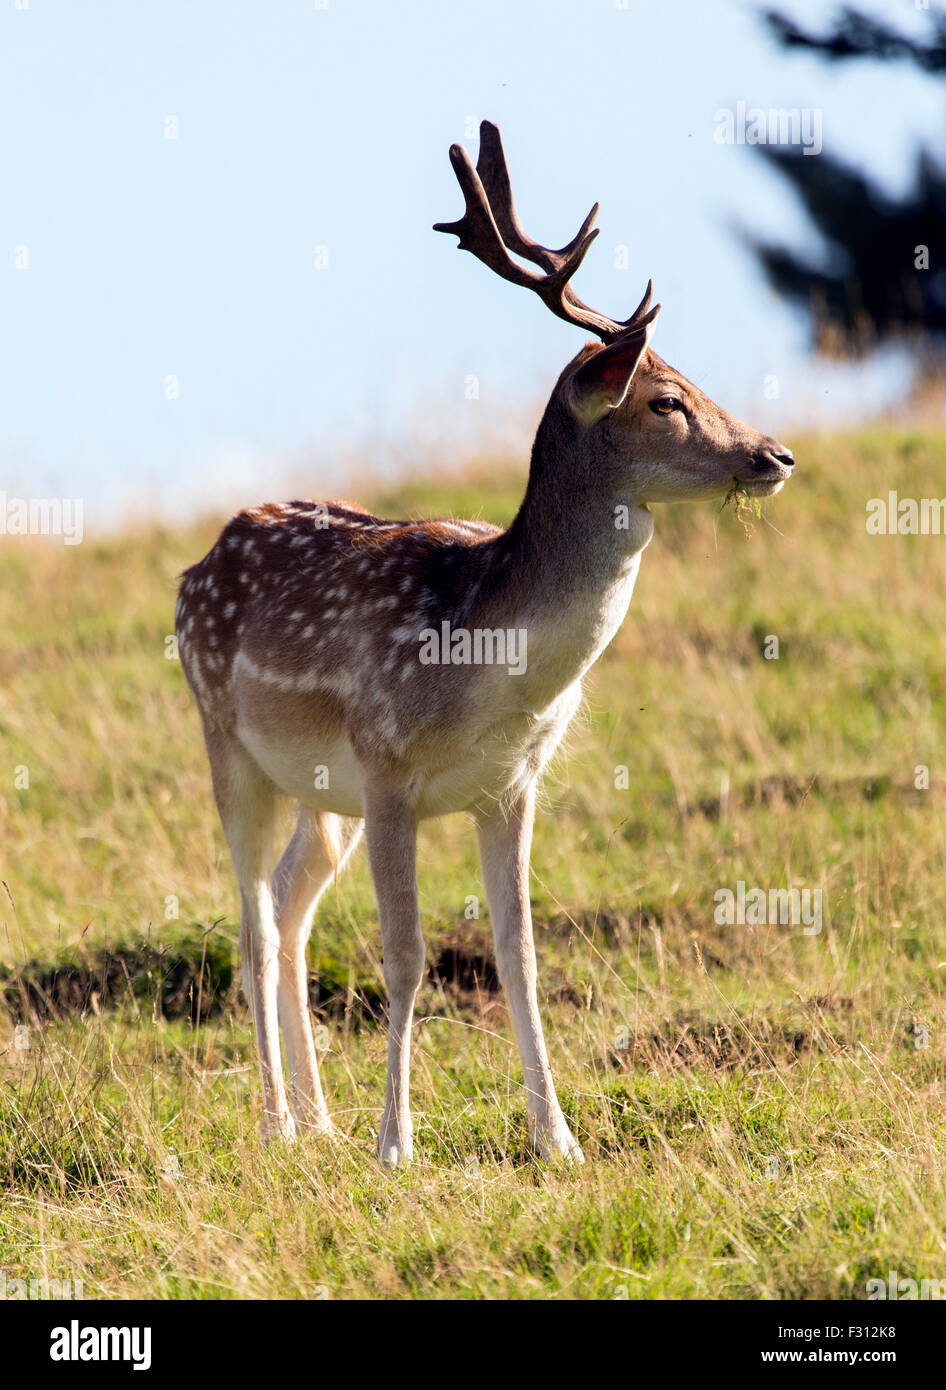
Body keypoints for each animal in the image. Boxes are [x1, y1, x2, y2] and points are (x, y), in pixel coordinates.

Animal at [175, 121, 794, 1168]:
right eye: (665, 399)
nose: (776, 453)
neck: (494, 672)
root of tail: (193, 570)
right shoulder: (388, 767)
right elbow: (407, 953)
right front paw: (397, 1145)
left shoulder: (513, 783)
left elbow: (521, 954)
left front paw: (559, 1139)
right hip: (230, 744)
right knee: (252, 925)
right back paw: (279, 1125)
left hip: (325, 797)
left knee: (293, 909)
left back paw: (320, 1119)